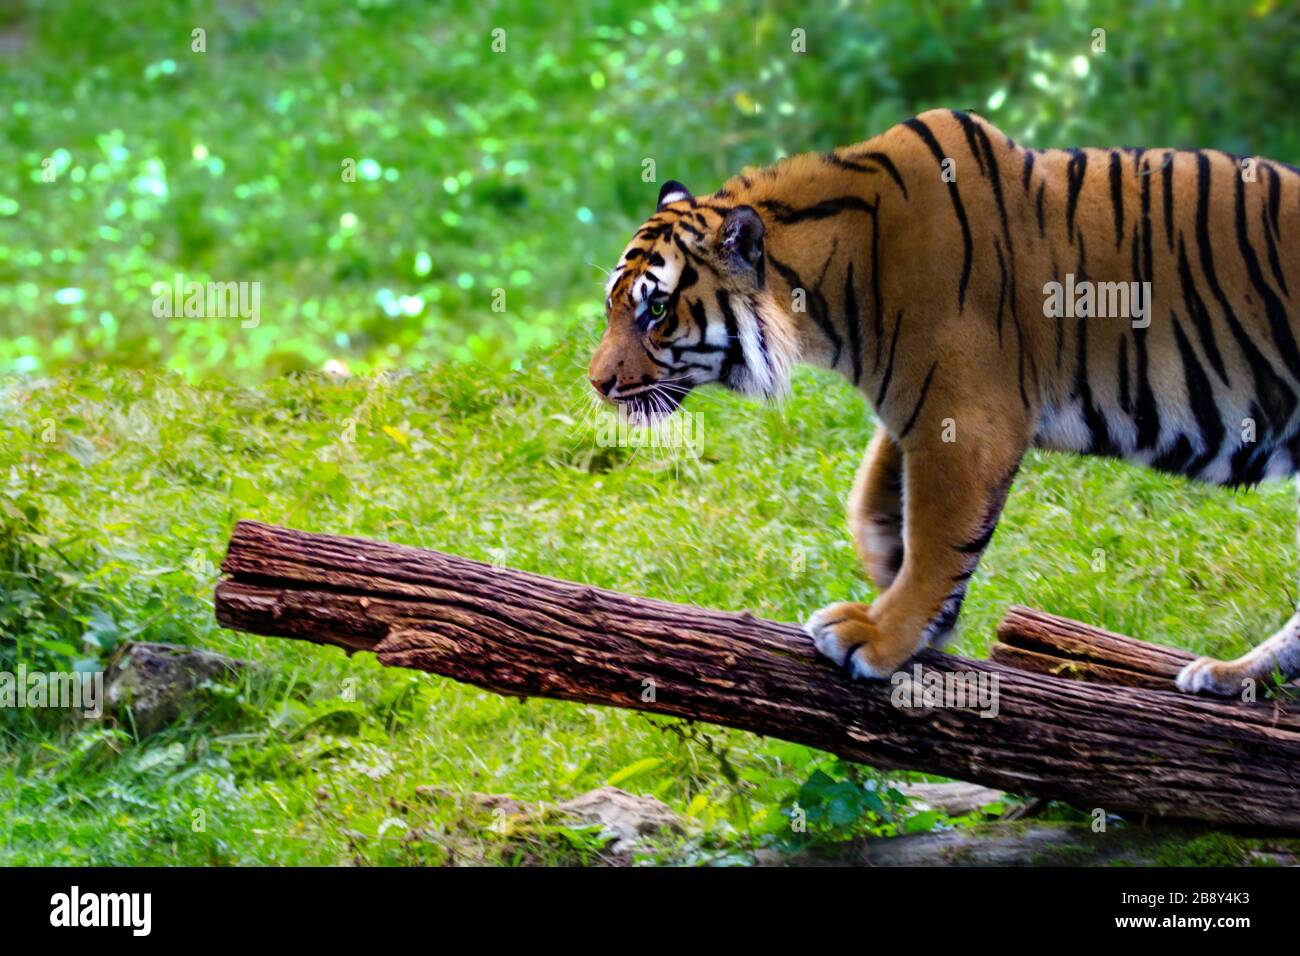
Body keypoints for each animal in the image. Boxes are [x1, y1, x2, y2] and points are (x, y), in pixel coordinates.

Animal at [587, 108, 1300, 697]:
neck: (826, 292)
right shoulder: (919, 404)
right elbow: (876, 493)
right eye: (613, 304)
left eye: (656, 310)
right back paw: (1232, 676)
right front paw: (892, 575)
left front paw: (878, 636)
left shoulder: (969, 417)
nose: (596, 383)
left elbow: (936, 534)